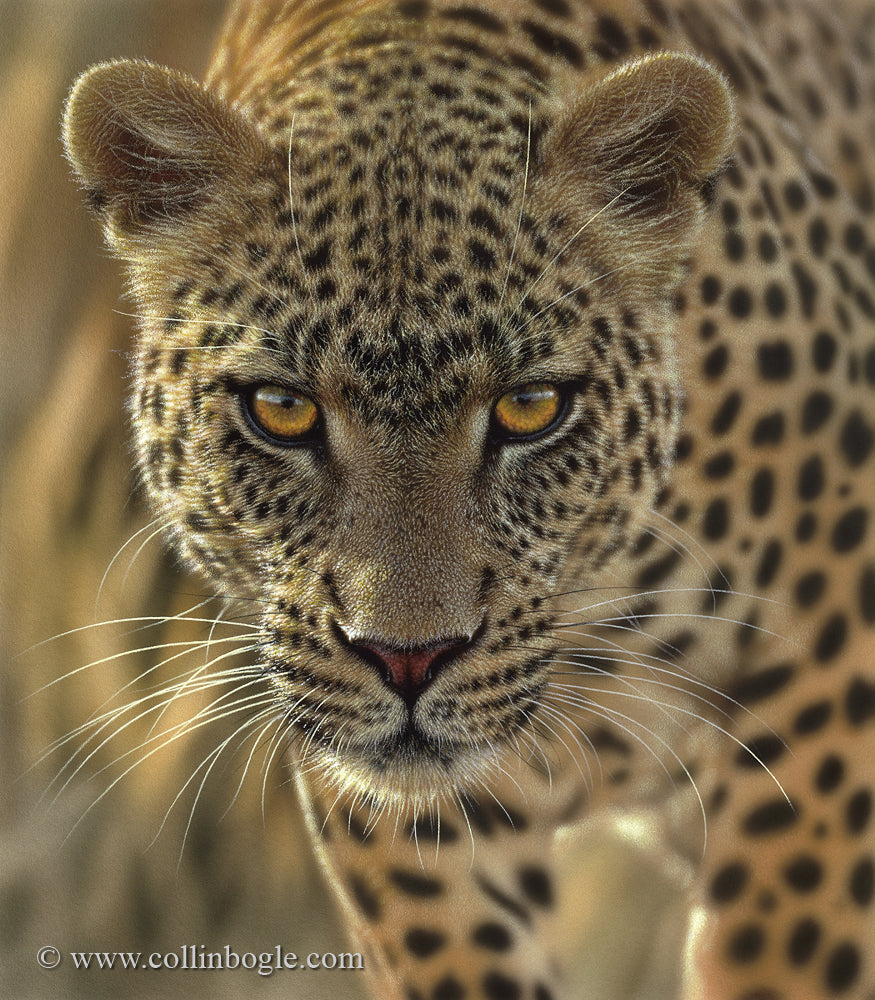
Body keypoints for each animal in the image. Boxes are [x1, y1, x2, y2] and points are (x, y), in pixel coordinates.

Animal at [60, 1, 875, 998]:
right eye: (282, 409)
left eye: (530, 406)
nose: (407, 660)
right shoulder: (385, 788)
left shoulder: (828, 651)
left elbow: (788, 942)